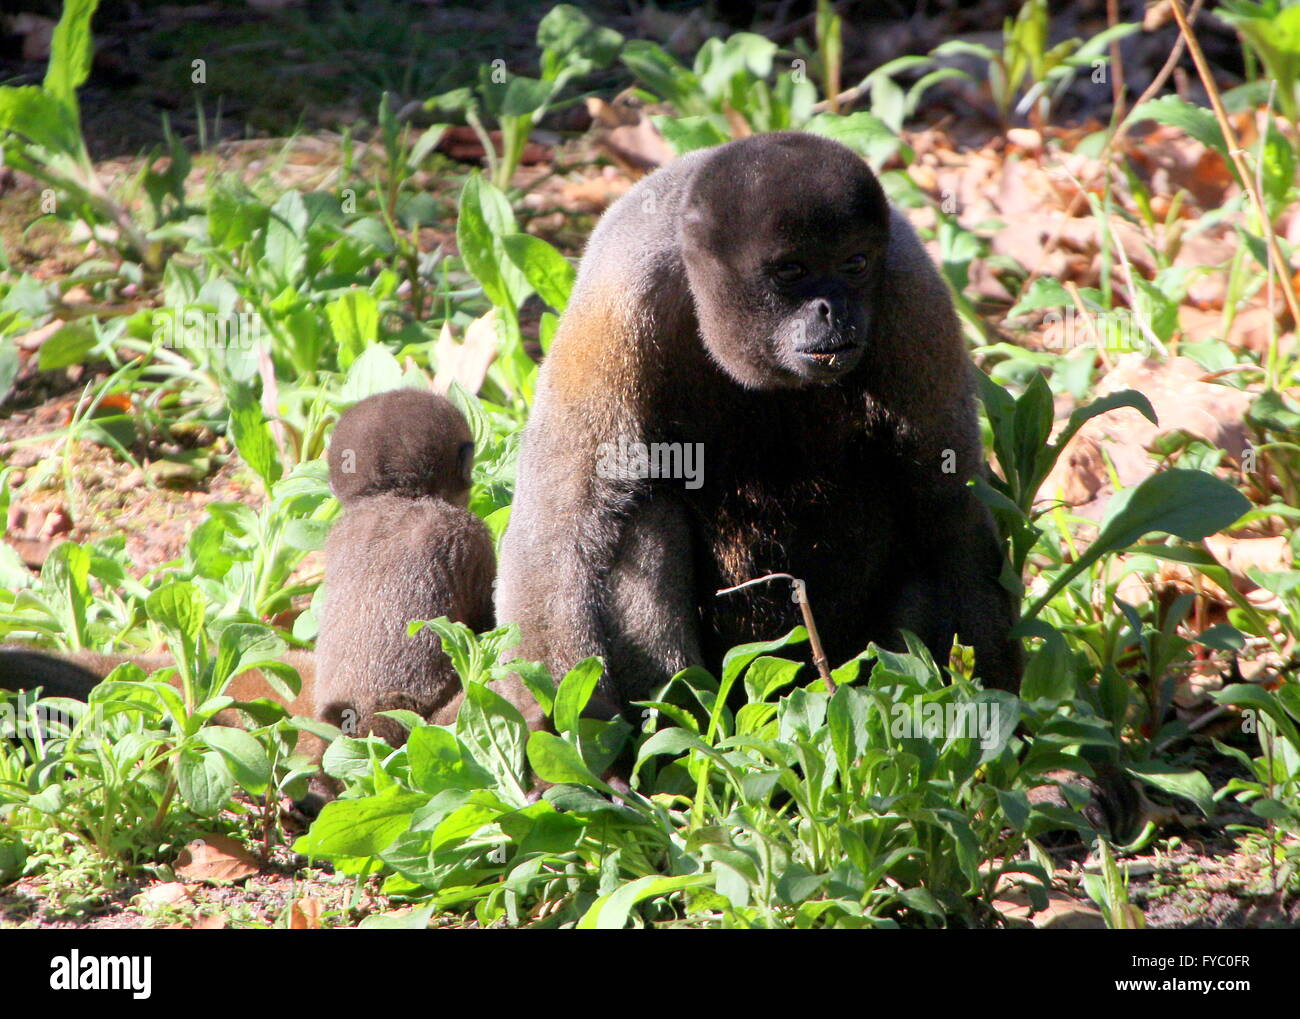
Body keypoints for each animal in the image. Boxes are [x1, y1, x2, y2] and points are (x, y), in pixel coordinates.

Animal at [496, 131, 1024, 722]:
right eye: (791, 271)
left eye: (855, 263)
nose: (832, 309)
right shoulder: (621, 294)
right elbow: (561, 527)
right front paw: (560, 727)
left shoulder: (915, 297)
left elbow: (947, 507)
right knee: (642, 518)